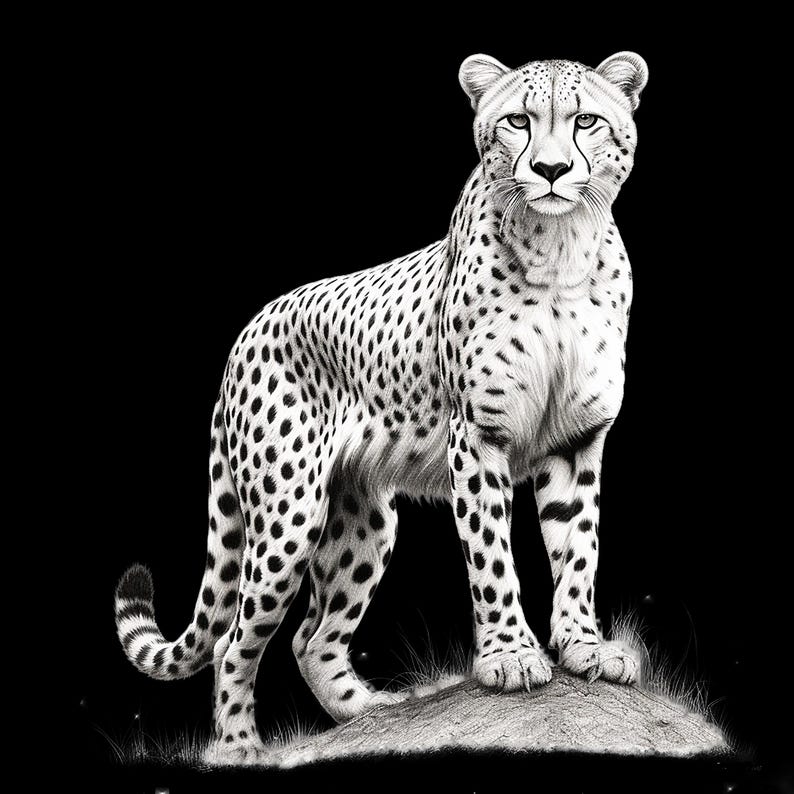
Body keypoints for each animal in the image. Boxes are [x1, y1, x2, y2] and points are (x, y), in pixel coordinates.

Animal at [115, 51, 648, 763]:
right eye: (517, 121)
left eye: (585, 120)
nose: (552, 169)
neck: (561, 249)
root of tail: (246, 332)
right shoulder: (476, 438)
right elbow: (492, 556)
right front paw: (510, 657)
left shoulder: (578, 440)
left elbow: (578, 549)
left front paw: (584, 646)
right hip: (287, 516)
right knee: (234, 642)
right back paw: (238, 749)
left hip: (360, 523)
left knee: (311, 638)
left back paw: (373, 716)